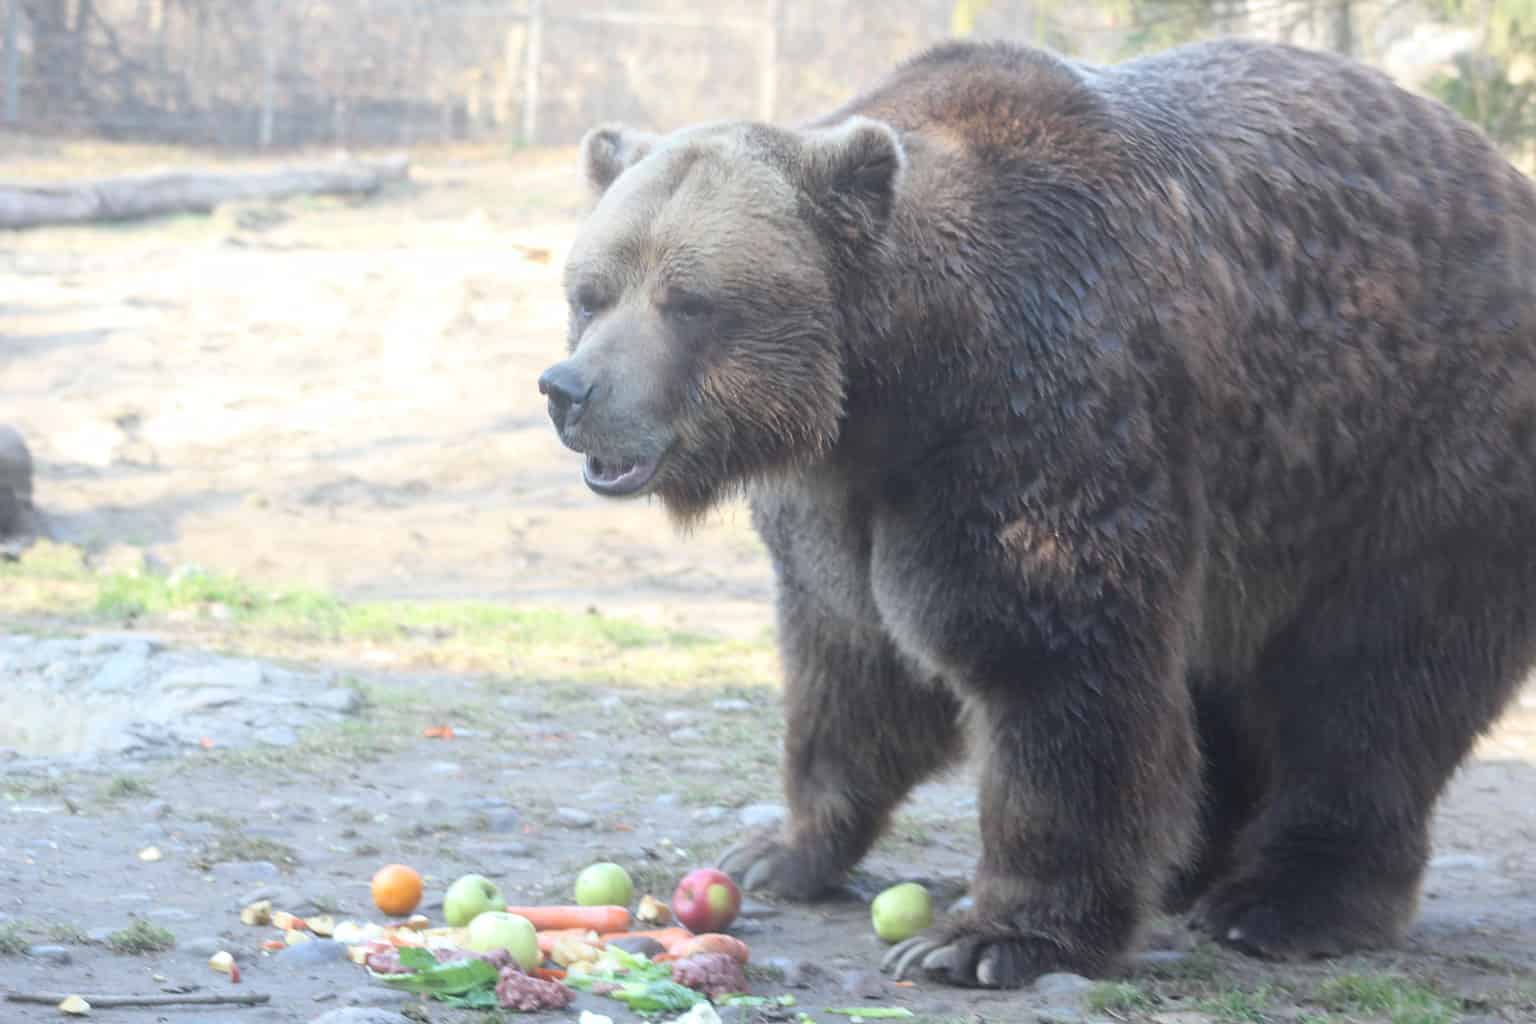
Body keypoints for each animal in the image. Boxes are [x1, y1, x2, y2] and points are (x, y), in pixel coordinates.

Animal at [537, 36, 1536, 989]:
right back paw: (1191, 867)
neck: (892, 385)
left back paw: (1285, 901)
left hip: (1414, 448)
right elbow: (849, 663)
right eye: (590, 292)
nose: (570, 389)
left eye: (688, 299)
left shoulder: (1036, 422)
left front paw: (988, 938)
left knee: (1375, 683)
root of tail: (1497, 172)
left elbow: (1050, 666)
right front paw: (781, 850)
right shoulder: (840, 500)